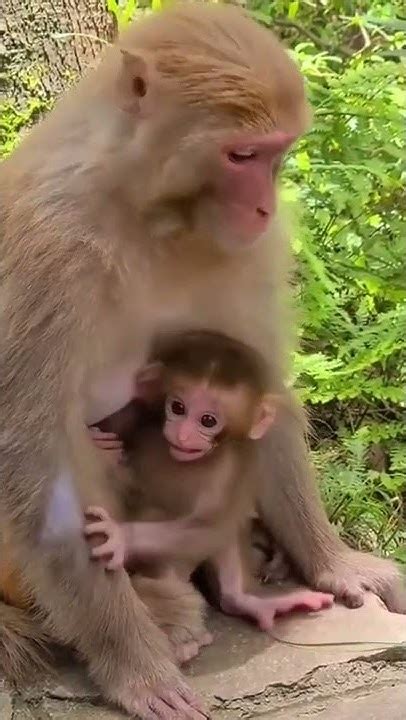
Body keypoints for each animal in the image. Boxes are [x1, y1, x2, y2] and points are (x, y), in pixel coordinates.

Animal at [84, 331, 334, 663]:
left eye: (207, 420)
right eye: (177, 407)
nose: (182, 435)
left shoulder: (230, 471)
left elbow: (209, 527)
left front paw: (120, 536)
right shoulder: (142, 417)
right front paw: (99, 441)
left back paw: (236, 602)